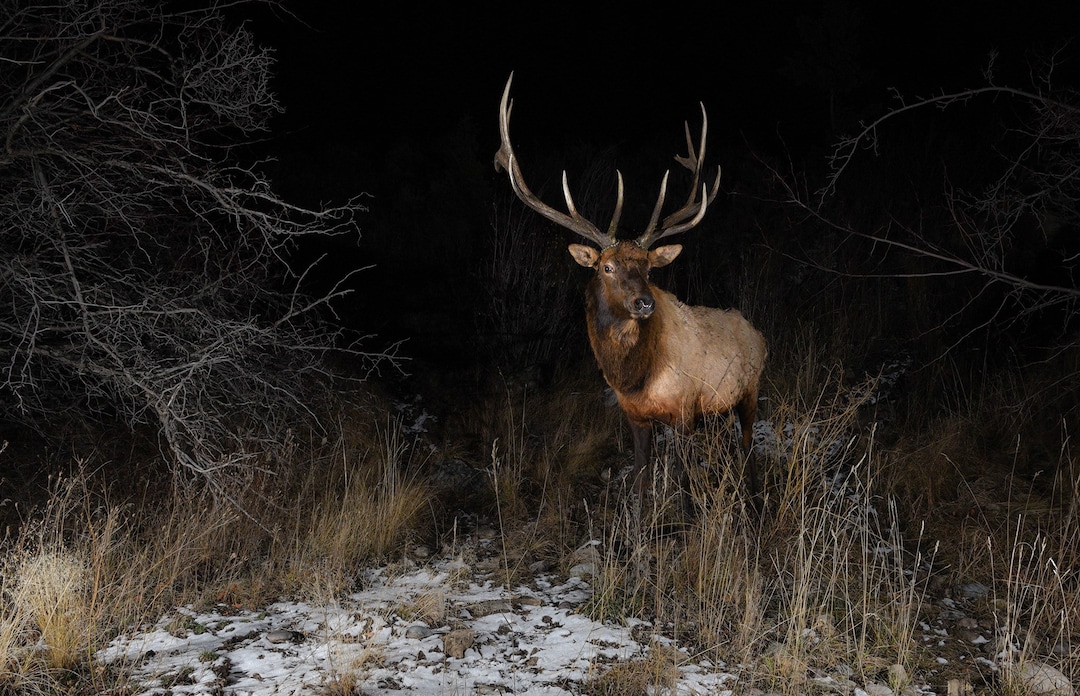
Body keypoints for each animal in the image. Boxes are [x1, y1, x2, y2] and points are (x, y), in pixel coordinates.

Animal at [494, 74, 767, 506]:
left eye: (649, 268)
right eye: (606, 267)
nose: (644, 303)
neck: (636, 379)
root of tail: (759, 334)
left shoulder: (684, 412)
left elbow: (683, 486)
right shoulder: (636, 416)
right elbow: (639, 482)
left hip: (751, 391)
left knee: (748, 446)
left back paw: (756, 503)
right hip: (721, 406)